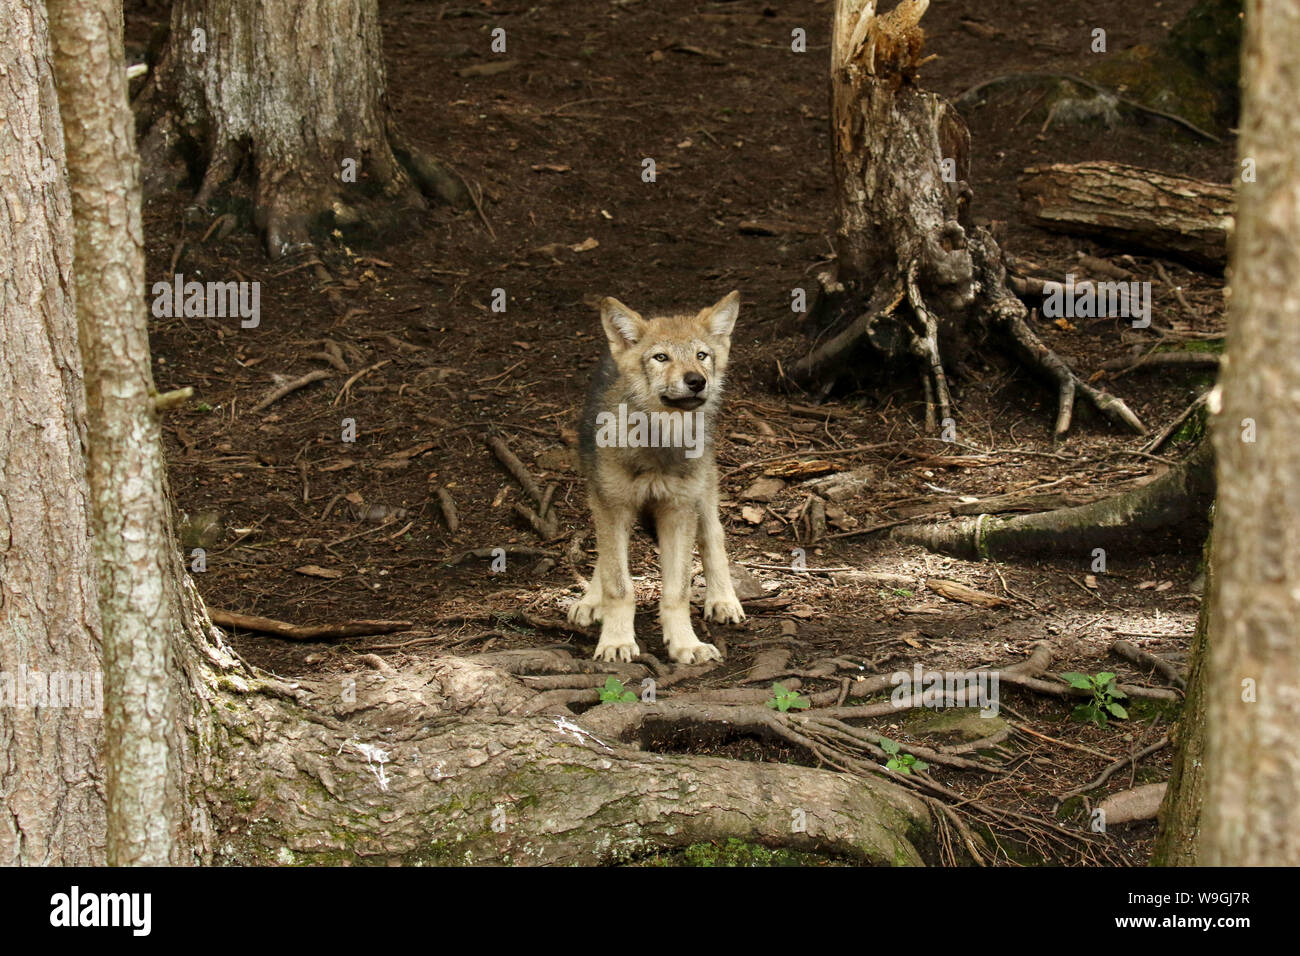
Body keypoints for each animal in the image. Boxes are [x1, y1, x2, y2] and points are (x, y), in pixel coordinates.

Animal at [568, 291, 746, 664]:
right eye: (661, 357)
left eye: (701, 355)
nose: (696, 380)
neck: (659, 441)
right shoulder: (612, 506)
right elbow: (618, 584)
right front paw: (616, 641)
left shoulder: (678, 512)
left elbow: (677, 591)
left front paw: (686, 644)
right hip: (602, 496)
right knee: (607, 557)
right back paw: (591, 602)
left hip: (703, 493)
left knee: (714, 536)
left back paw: (723, 600)